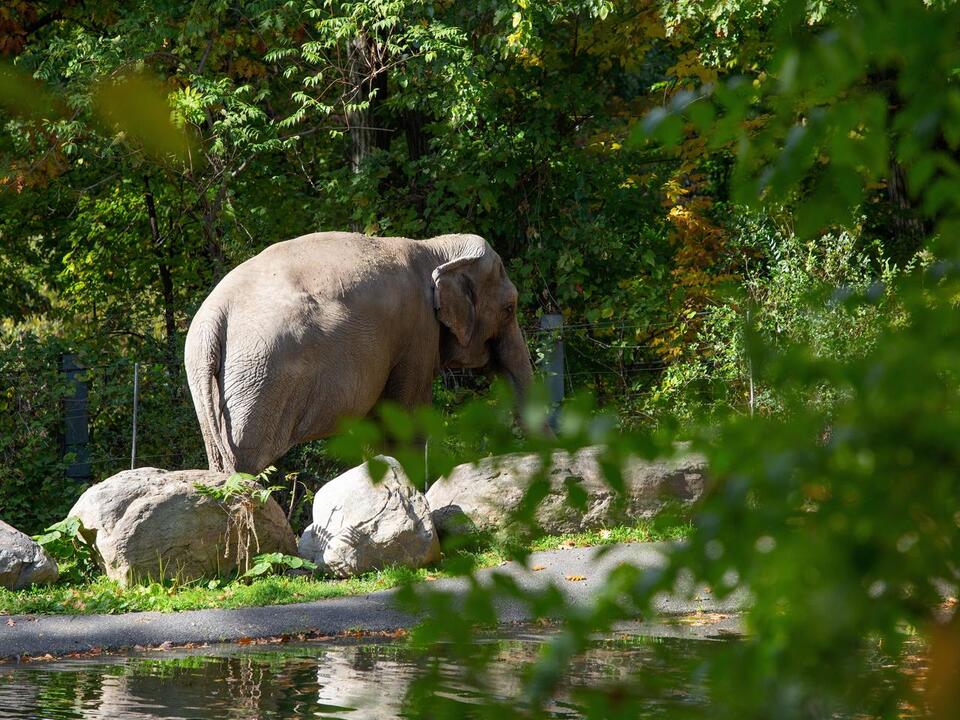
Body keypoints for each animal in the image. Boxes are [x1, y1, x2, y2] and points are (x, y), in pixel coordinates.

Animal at [184, 231, 535, 474]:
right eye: (509, 309)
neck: (436, 248)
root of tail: (215, 315)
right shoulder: (417, 332)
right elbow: (406, 422)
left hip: (207, 380)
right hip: (260, 376)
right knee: (249, 460)